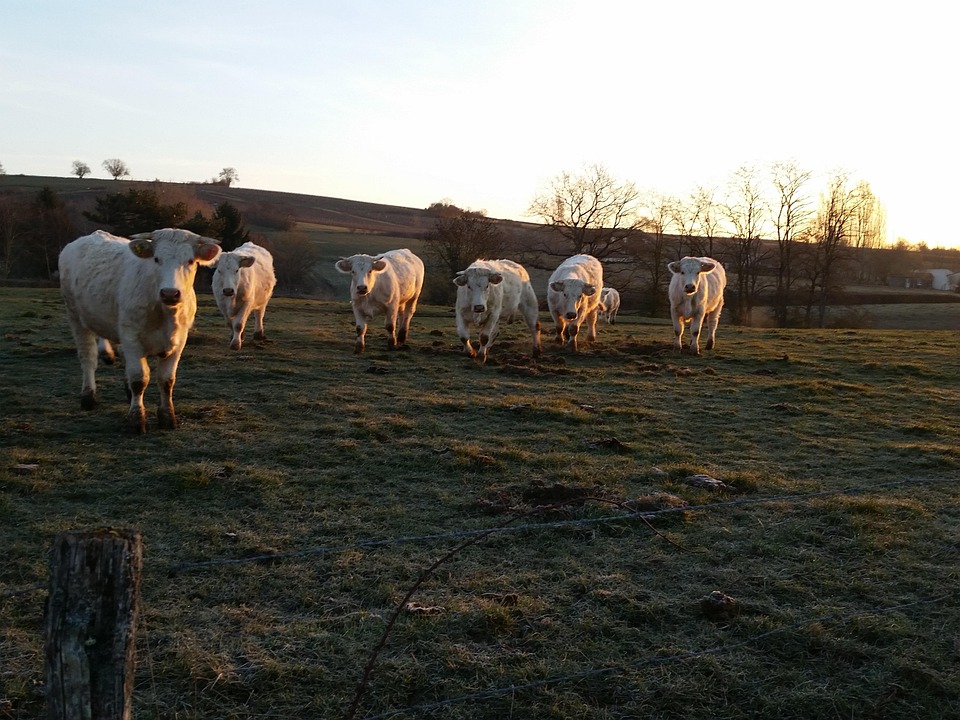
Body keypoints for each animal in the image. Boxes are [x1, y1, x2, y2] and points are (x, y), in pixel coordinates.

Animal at [58, 228, 222, 433]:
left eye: (190, 261)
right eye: (156, 259)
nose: (170, 293)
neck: (164, 313)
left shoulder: (179, 341)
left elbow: (166, 380)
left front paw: (167, 417)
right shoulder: (132, 338)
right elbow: (139, 379)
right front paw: (137, 419)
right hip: (75, 316)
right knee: (88, 358)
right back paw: (88, 397)